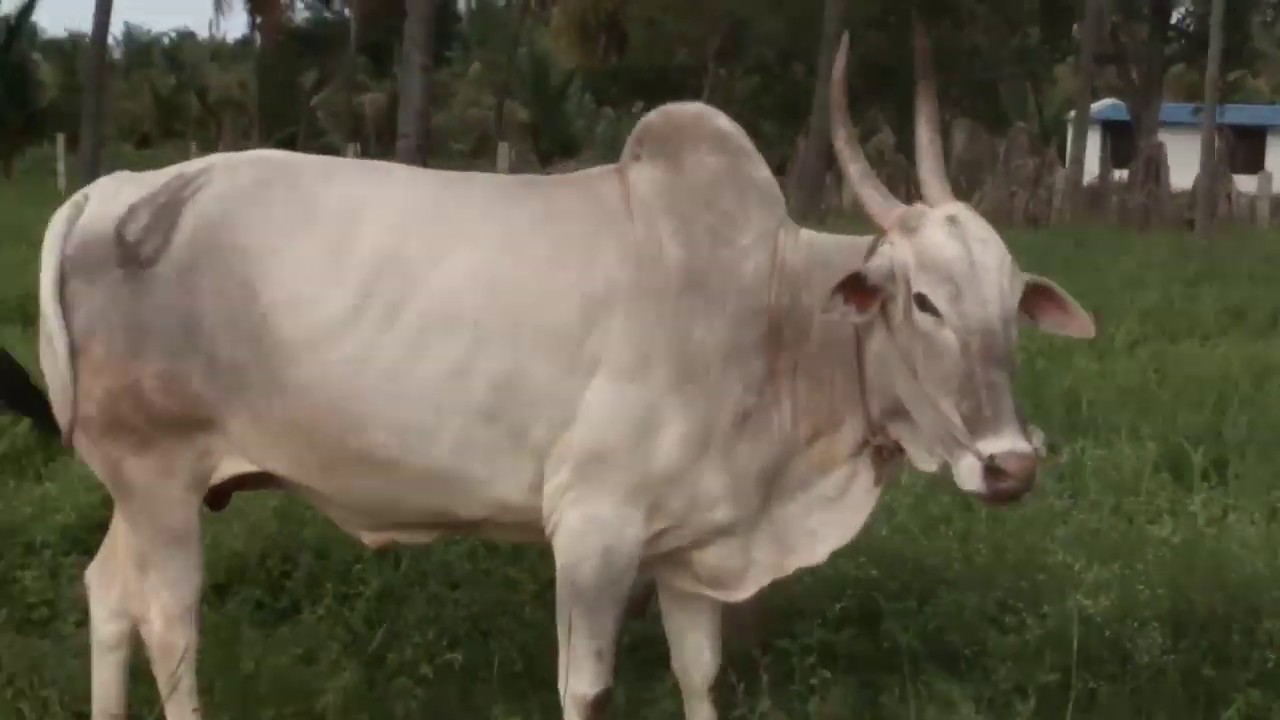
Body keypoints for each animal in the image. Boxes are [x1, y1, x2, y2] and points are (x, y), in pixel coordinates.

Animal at [0, 21, 1094, 720]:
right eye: (922, 299)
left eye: (1010, 301)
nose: (1011, 465)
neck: (773, 315)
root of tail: (112, 191)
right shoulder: (593, 532)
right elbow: (587, 686)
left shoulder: (690, 548)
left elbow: (699, 679)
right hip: (161, 479)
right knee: (166, 624)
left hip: (145, 491)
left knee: (107, 596)